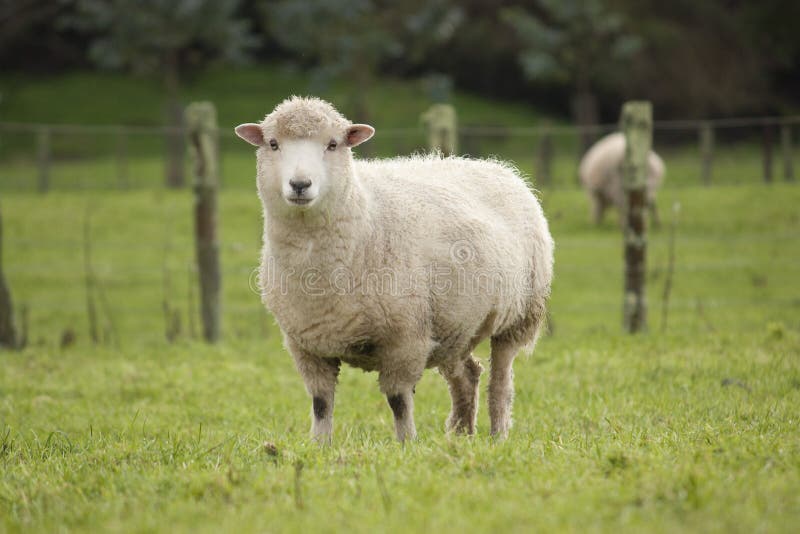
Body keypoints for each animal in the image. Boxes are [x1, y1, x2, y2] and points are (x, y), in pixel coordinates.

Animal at [235, 96, 554, 442]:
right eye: (273, 144)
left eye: (333, 144)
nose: (300, 184)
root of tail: (497, 167)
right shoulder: (306, 345)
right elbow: (321, 402)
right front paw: (320, 445)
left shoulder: (406, 339)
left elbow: (398, 401)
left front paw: (406, 444)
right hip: (454, 325)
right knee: (468, 375)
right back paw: (461, 435)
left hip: (519, 316)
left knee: (501, 382)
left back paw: (497, 436)